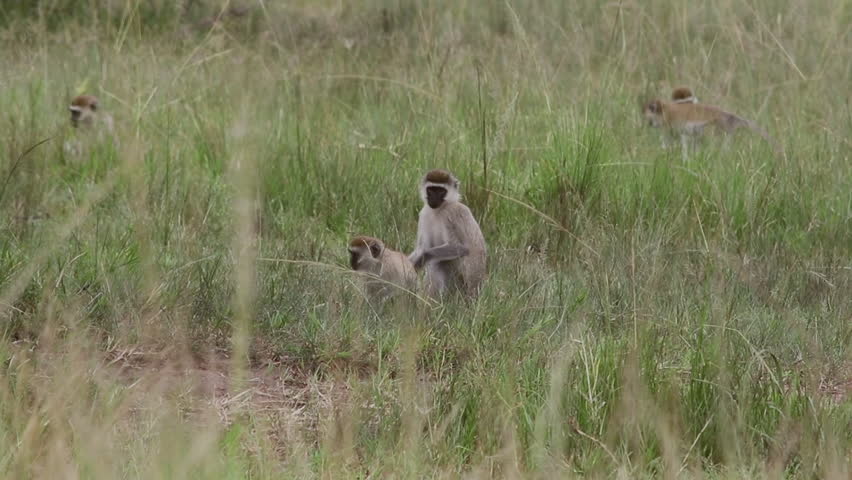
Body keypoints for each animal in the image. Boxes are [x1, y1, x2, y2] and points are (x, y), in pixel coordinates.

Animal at [408, 169, 487, 298]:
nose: (433, 199)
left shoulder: (451, 214)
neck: (439, 210)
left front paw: (421, 259)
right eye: (431, 189)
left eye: (441, 191)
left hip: (461, 281)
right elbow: (422, 247)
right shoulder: (424, 214)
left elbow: (460, 248)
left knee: (436, 263)